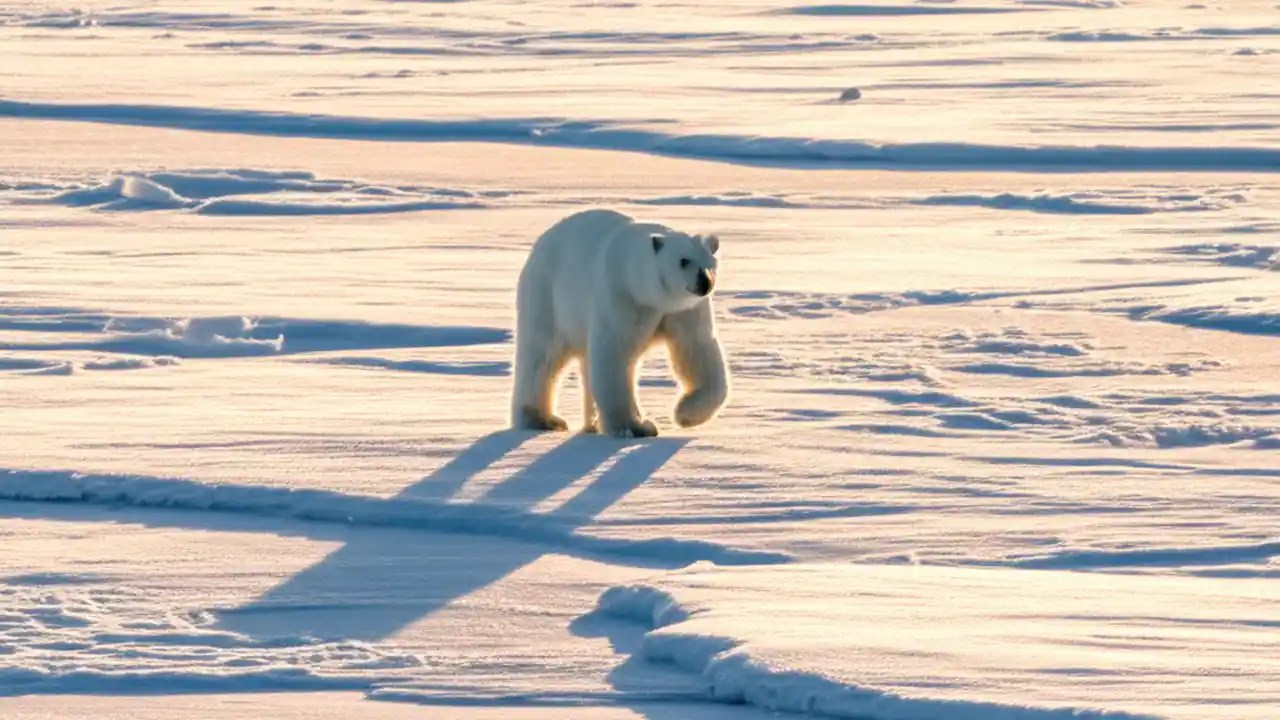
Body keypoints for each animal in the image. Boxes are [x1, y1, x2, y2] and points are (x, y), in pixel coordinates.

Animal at [510, 209, 729, 438]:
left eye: (710, 263)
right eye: (684, 261)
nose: (704, 282)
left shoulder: (684, 309)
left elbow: (697, 347)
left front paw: (685, 414)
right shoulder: (621, 296)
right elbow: (614, 353)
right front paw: (635, 427)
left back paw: (591, 425)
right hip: (548, 297)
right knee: (541, 355)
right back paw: (542, 419)